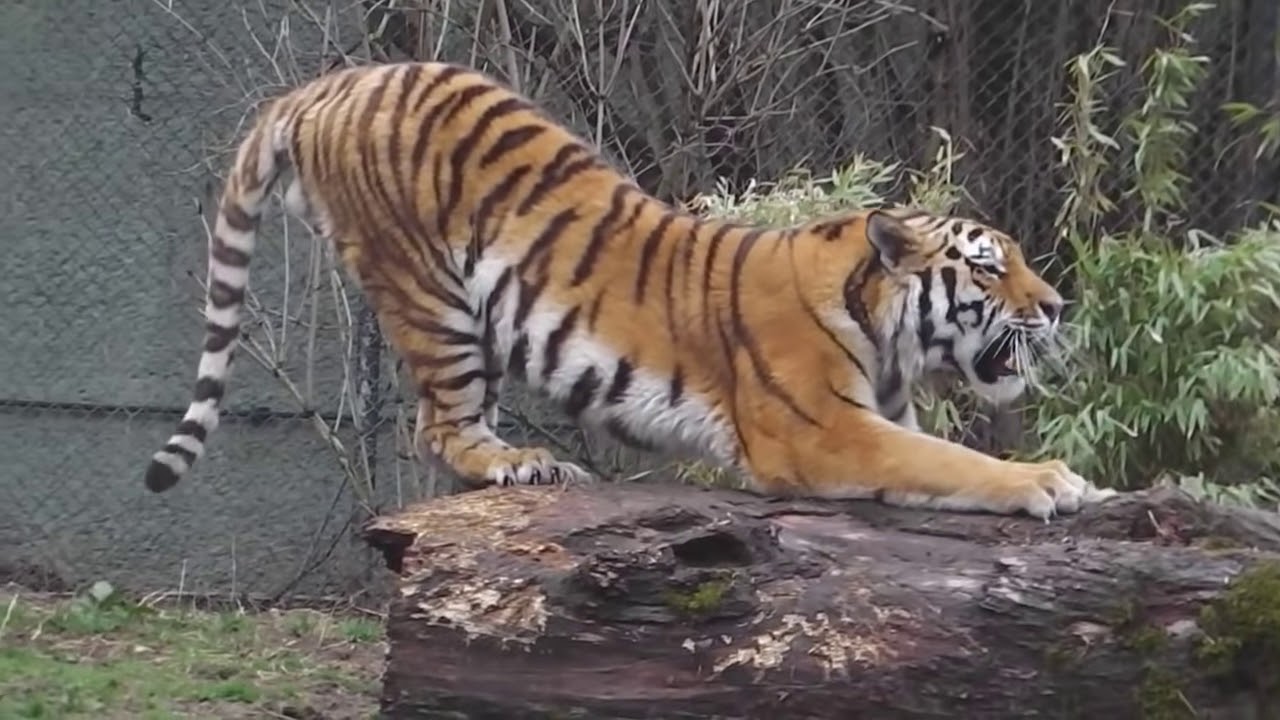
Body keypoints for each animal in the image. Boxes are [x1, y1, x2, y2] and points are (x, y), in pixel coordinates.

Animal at [143, 60, 1115, 520]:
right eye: (989, 266)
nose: (1057, 306)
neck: (887, 339)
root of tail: (327, 83)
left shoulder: (881, 415)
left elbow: (943, 457)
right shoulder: (828, 435)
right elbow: (952, 461)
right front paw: (1050, 479)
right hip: (431, 293)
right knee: (440, 425)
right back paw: (520, 461)